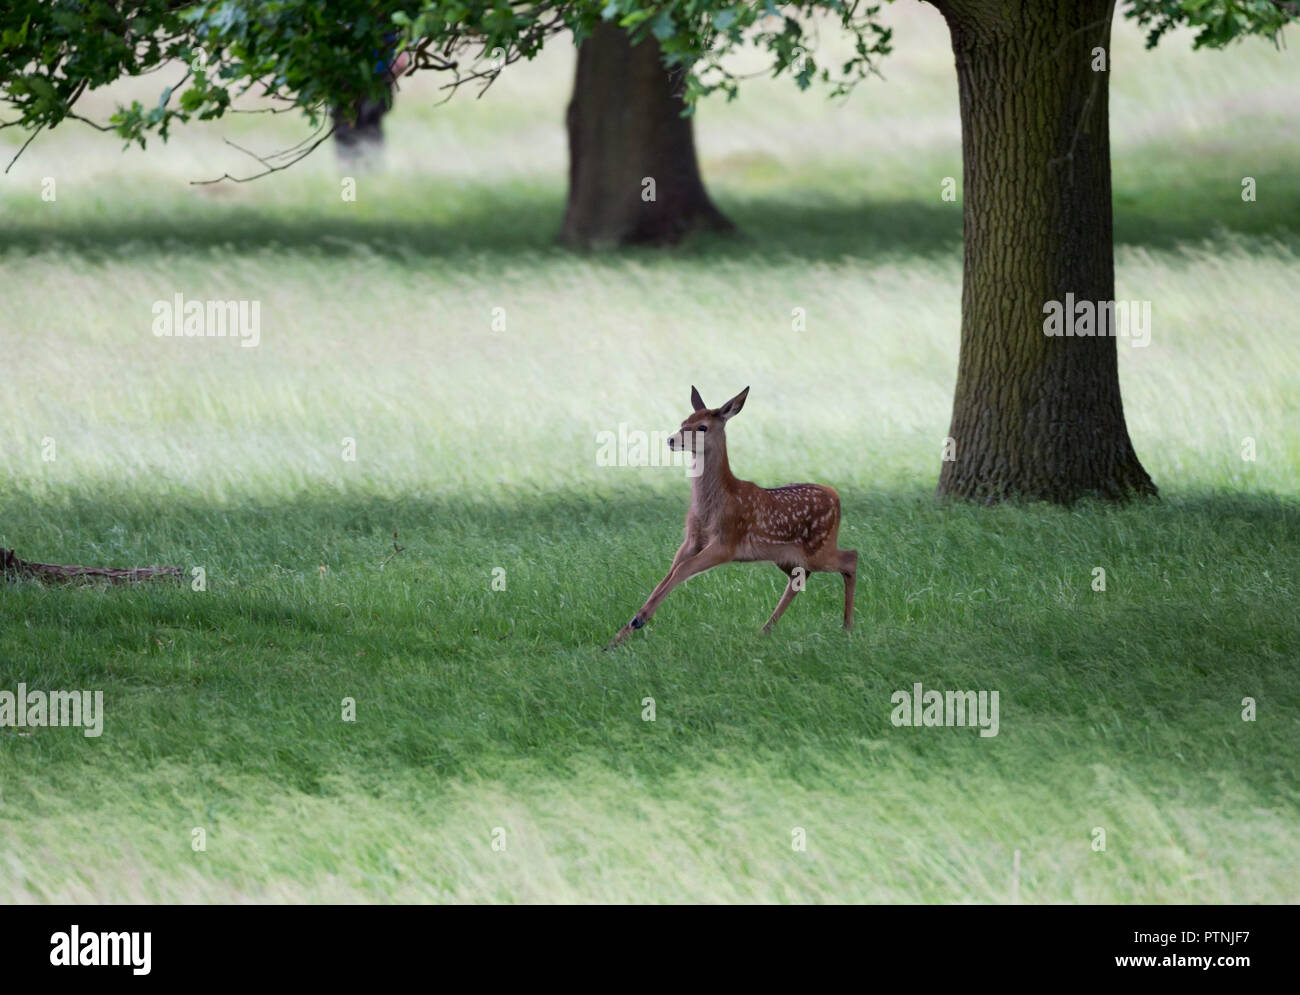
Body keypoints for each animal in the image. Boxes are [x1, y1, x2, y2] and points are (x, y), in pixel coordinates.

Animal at [606, 386, 857, 649]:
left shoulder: (727, 540)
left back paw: (847, 627)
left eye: (702, 427)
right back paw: (764, 630)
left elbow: (683, 569)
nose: (671, 439)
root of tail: (836, 496)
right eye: (684, 422)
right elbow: (670, 573)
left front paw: (639, 620)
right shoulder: (692, 540)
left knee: (851, 558)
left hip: (819, 547)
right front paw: (619, 636)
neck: (713, 503)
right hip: (786, 555)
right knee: (799, 578)